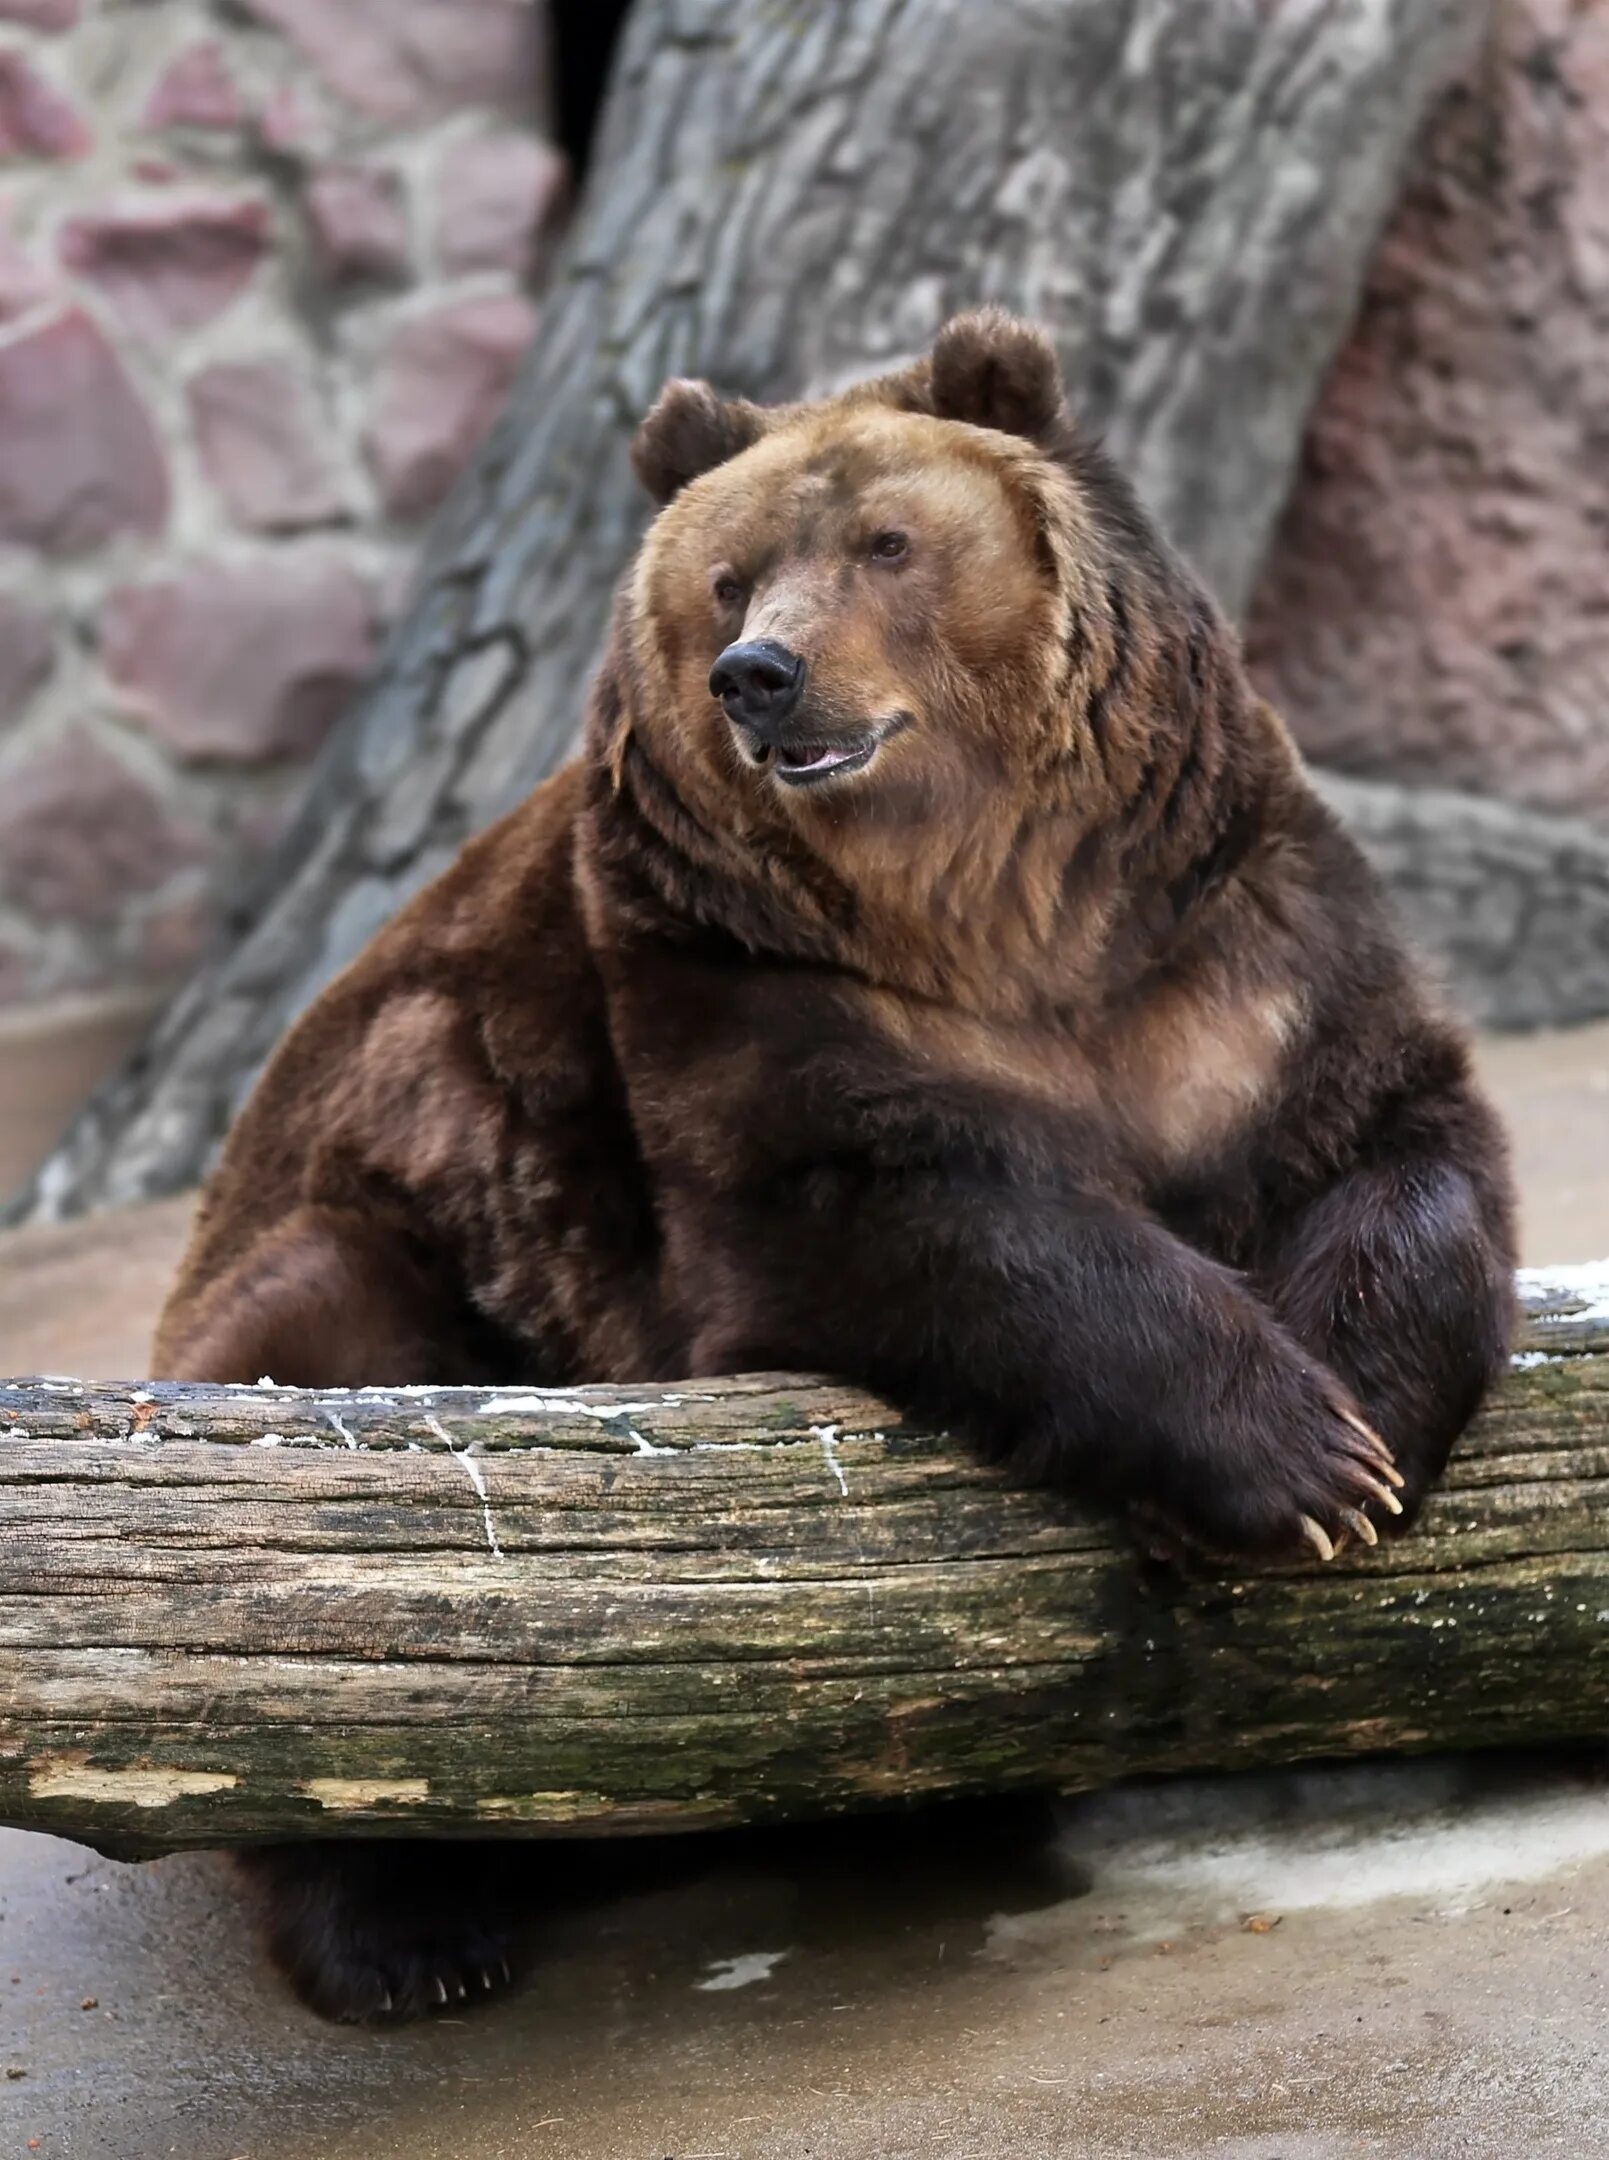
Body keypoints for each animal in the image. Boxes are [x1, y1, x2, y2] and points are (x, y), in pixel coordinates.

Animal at [153, 308, 1520, 2021]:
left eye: (886, 543)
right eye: (728, 578)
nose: (761, 676)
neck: (987, 908)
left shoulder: (1230, 953)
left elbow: (1401, 1136)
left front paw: (1361, 1433)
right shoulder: (727, 986)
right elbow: (916, 1217)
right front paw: (1282, 1462)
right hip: (366, 1234)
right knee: (319, 1508)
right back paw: (409, 1940)